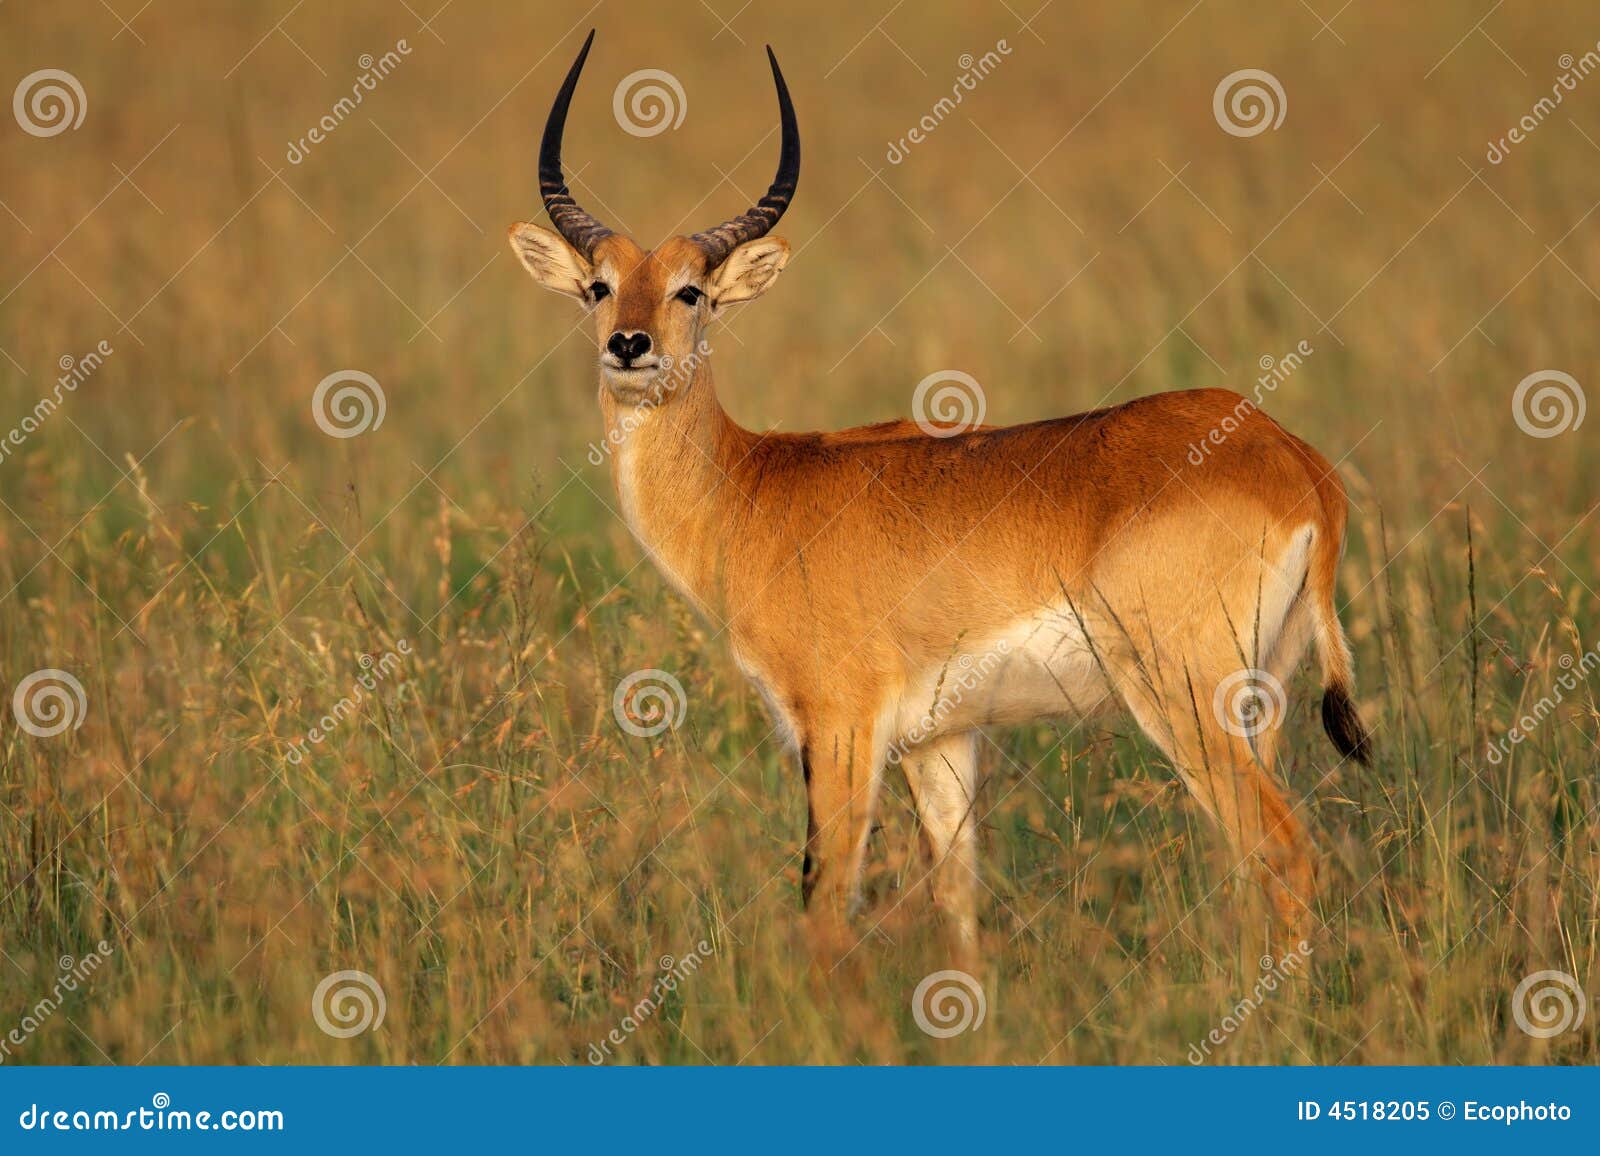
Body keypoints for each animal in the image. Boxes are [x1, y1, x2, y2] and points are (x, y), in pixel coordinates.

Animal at [508, 31, 1372, 954]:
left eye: (691, 290)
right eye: (599, 285)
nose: (631, 346)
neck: (750, 488)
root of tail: (1294, 461)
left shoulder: (841, 728)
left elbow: (825, 902)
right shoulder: (940, 742)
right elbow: (957, 903)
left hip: (1186, 699)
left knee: (1283, 850)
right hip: (1260, 702)